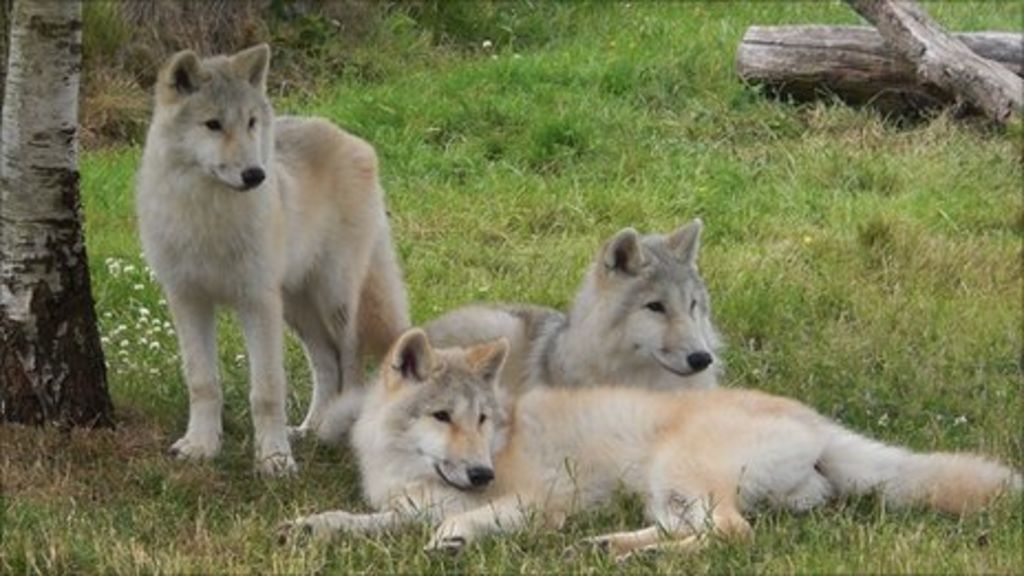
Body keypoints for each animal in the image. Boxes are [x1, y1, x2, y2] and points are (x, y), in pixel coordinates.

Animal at [135, 44, 409, 475]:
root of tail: (350, 138)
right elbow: (202, 382)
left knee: (349, 362)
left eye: (250, 123)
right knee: (326, 365)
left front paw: (275, 461)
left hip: (334, 300)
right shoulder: (188, 300)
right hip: (296, 308)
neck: (209, 214)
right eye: (213, 125)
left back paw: (338, 430)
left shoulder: (257, 303)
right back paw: (311, 431)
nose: (255, 174)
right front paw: (201, 447)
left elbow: (266, 391)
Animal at [281, 329, 1021, 559]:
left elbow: (470, 521)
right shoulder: (404, 508)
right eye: (443, 416)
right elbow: (357, 522)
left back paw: (628, 554)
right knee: (698, 530)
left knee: (732, 535)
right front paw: (312, 524)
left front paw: (458, 537)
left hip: (679, 476)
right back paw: (609, 547)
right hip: (666, 495)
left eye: (483, 420)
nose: (482, 473)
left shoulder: (540, 501)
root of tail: (817, 422)